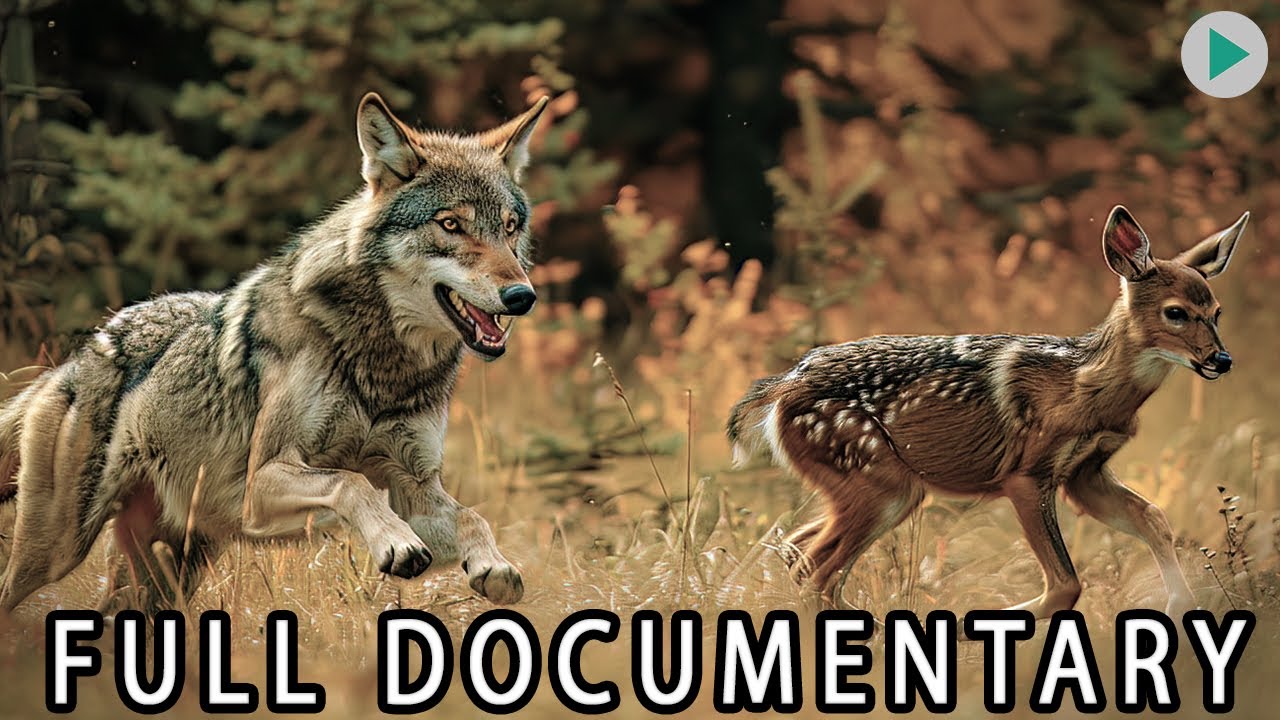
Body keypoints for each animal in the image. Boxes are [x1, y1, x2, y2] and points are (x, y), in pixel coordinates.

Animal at [0, 92, 549, 612]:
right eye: (451, 225)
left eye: (509, 226)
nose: (521, 297)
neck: (383, 366)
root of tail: (77, 357)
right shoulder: (260, 487)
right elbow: (351, 482)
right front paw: (396, 544)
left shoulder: (413, 484)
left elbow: (472, 516)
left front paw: (493, 566)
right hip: (56, 551)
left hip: (167, 578)